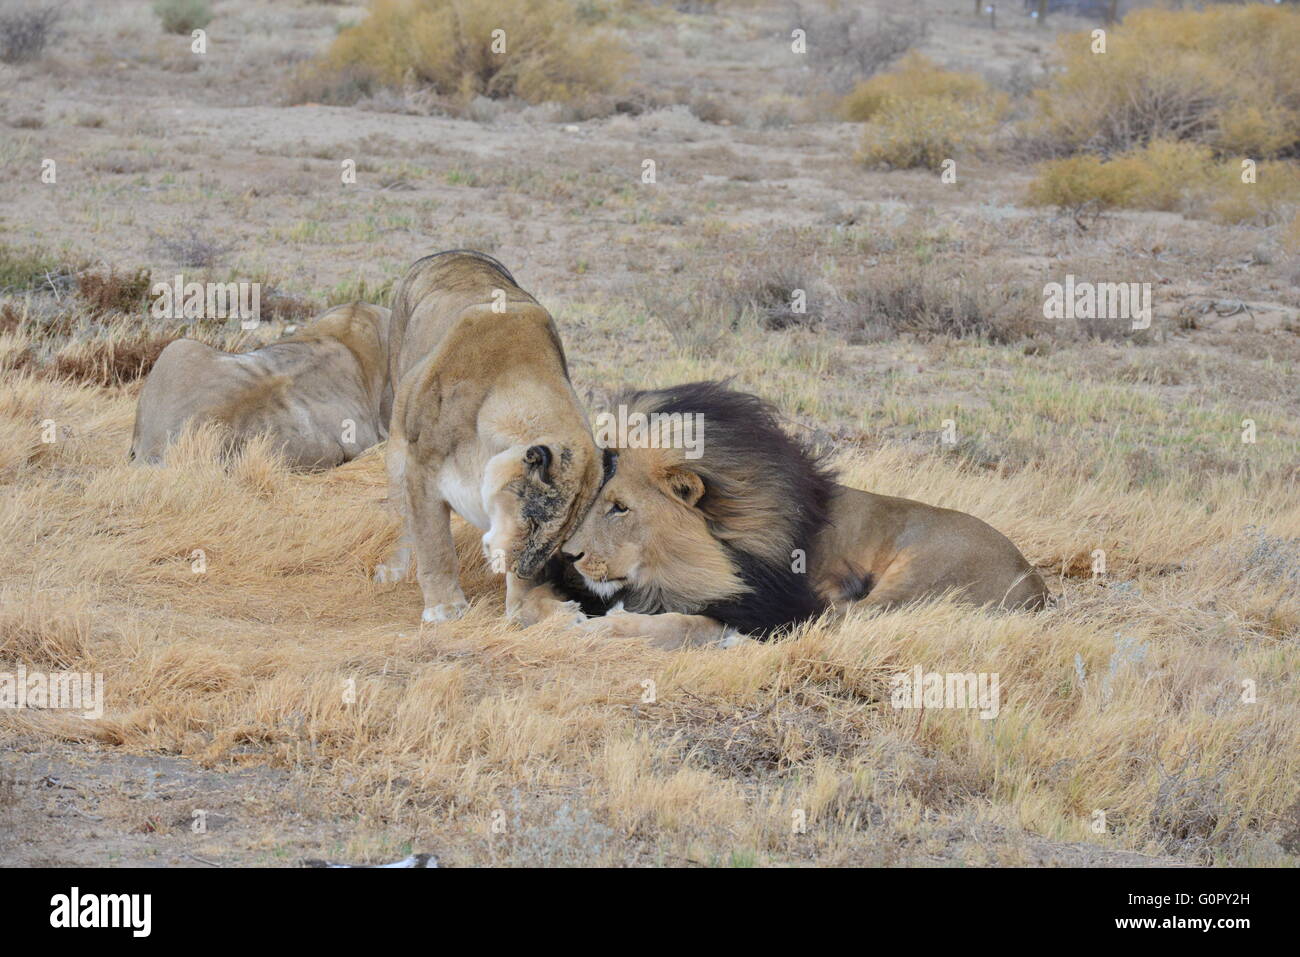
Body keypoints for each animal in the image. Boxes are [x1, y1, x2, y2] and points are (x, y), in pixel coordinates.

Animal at [372, 250, 603, 627]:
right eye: (533, 521)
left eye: (560, 540)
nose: (522, 569)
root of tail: (452, 252)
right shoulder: (422, 467)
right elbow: (435, 544)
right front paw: (444, 606)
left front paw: (531, 608)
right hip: (397, 445)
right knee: (400, 517)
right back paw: (394, 568)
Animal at [554, 381, 1049, 649]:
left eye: (620, 508)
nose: (568, 556)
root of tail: (1036, 585)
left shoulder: (775, 603)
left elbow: (684, 622)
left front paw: (608, 626)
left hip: (918, 572)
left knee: (842, 622)